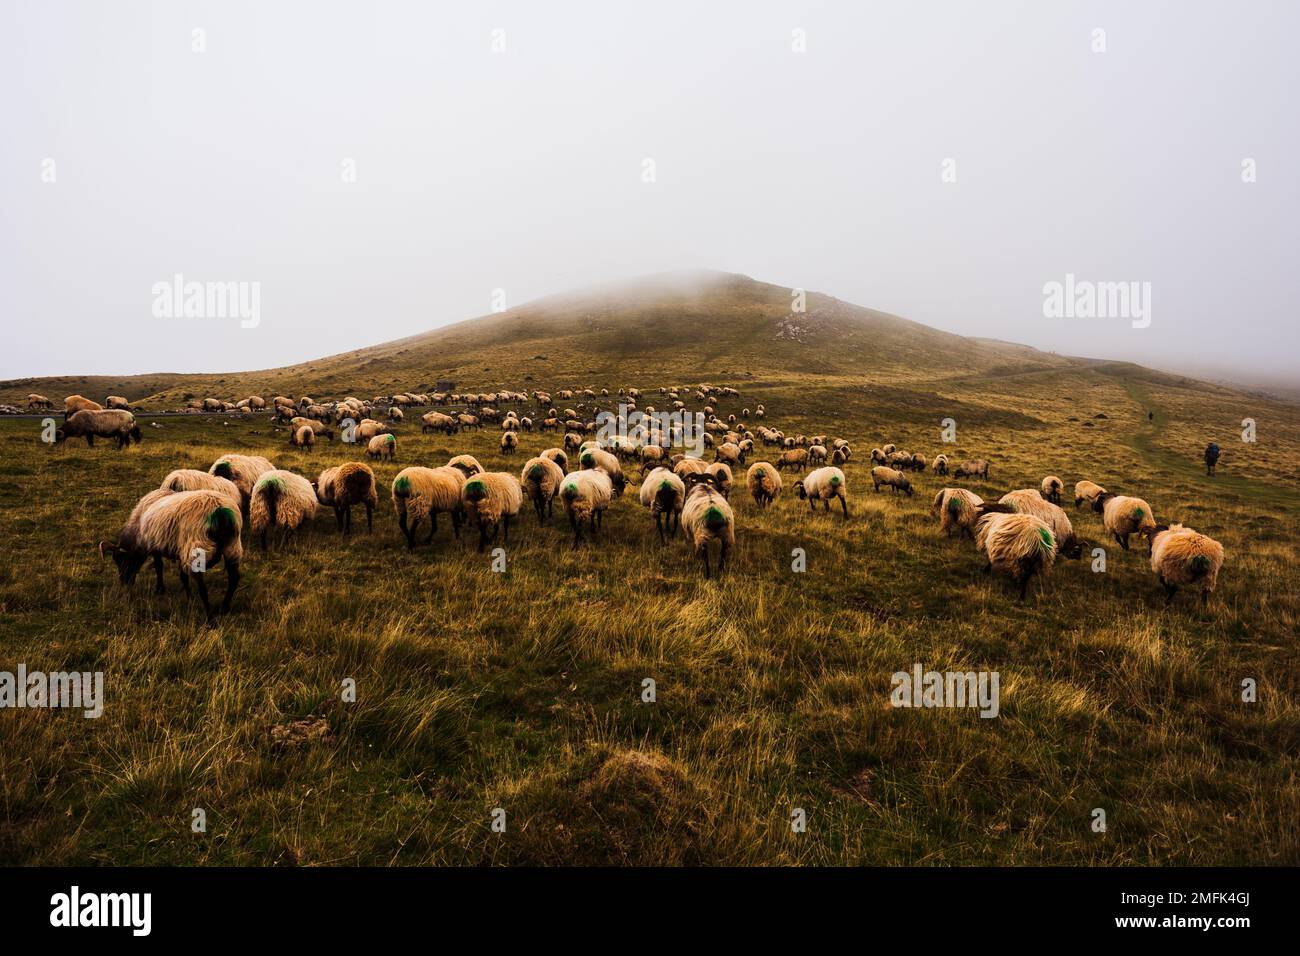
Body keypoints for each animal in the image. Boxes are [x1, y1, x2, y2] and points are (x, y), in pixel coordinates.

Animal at [99, 489, 243, 624]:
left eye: (121, 560)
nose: (124, 582)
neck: (137, 530)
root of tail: (220, 511)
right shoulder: (180, 550)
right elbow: (182, 576)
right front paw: (189, 598)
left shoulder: (156, 546)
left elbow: (159, 566)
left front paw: (160, 589)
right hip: (232, 546)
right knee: (234, 578)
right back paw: (224, 607)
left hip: (195, 546)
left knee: (202, 587)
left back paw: (210, 618)